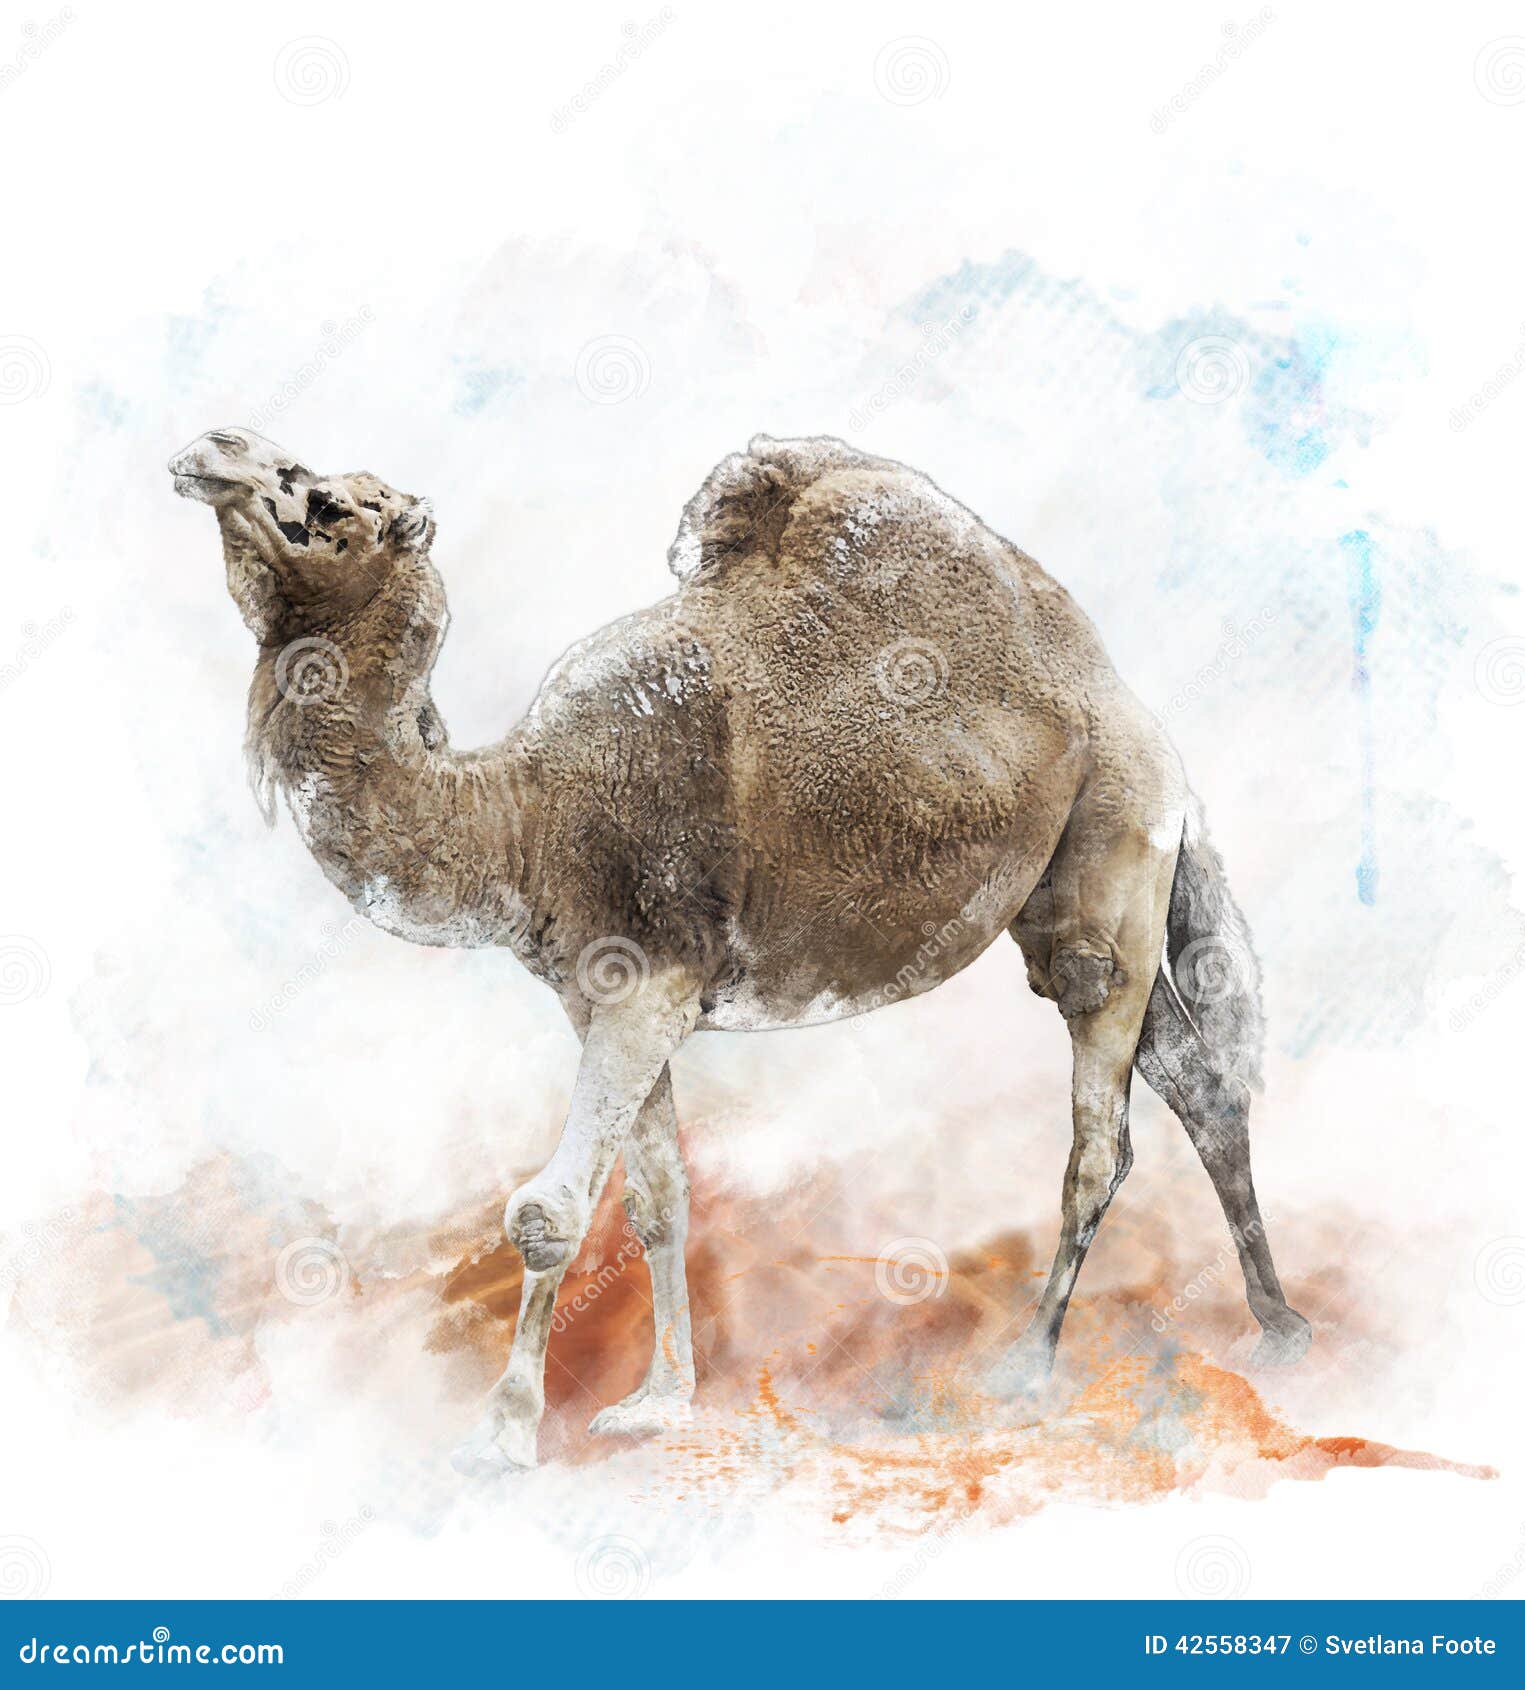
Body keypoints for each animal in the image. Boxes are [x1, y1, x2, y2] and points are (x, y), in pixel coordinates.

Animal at [169, 427, 1311, 1473]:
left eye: (326, 498)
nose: (208, 450)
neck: (524, 813)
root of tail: (1139, 718)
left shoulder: (646, 983)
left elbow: (548, 1212)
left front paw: (499, 1434)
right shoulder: (602, 991)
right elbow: (657, 1201)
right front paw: (659, 1399)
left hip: (1109, 850)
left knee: (1099, 1139)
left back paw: (1028, 1364)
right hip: (1074, 898)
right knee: (1200, 1082)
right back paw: (1279, 1323)